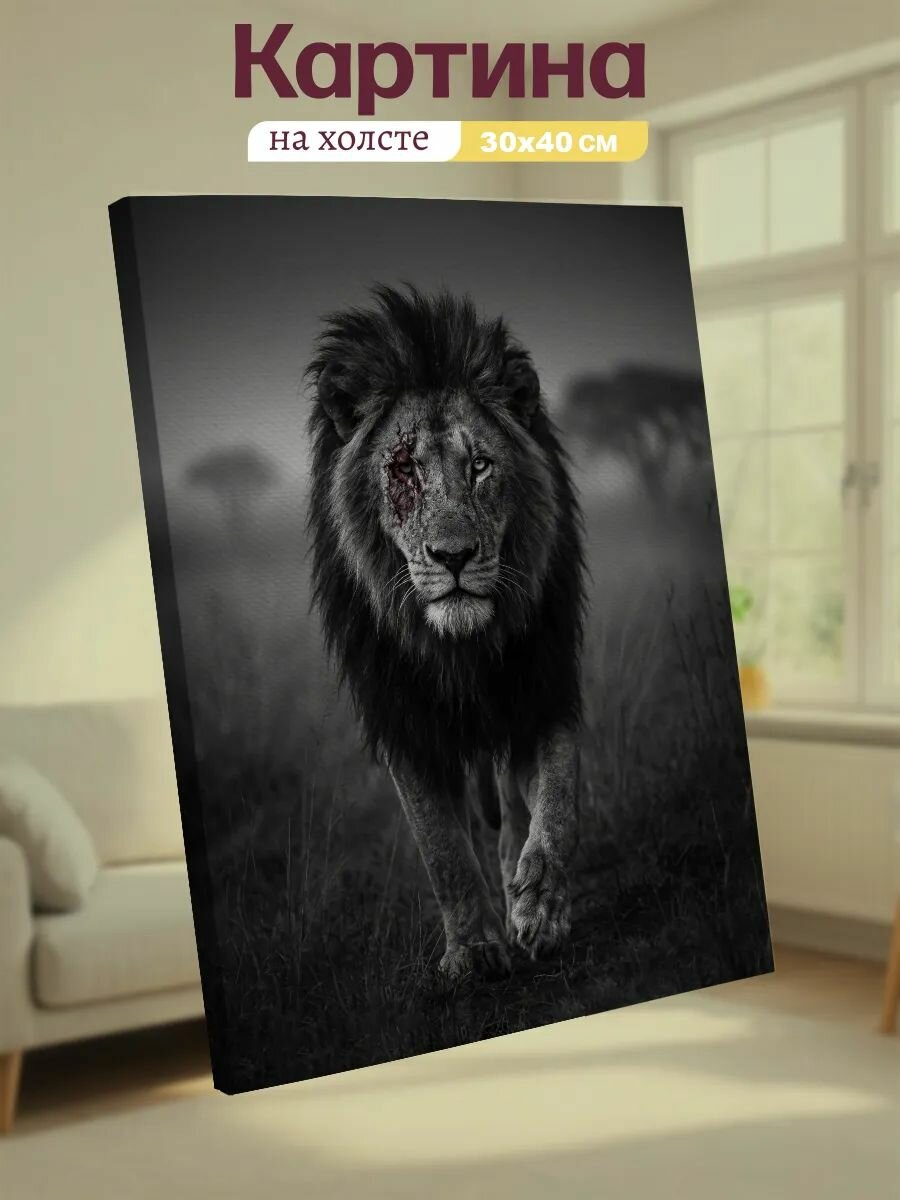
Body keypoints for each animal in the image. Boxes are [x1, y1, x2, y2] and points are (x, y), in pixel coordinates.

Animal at [307, 284, 585, 980]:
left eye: (480, 465)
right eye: (403, 470)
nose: (454, 556)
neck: (460, 649)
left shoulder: (544, 687)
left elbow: (558, 802)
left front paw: (540, 906)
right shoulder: (404, 720)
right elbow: (441, 847)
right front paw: (475, 948)